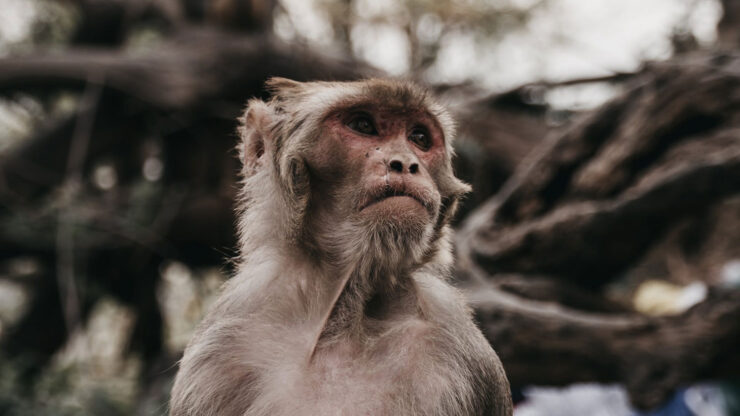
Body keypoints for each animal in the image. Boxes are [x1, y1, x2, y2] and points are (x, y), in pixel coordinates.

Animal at [169, 78, 513, 416]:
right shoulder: (220, 349)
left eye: (419, 138)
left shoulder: (462, 346)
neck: (346, 308)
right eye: (363, 125)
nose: (406, 163)